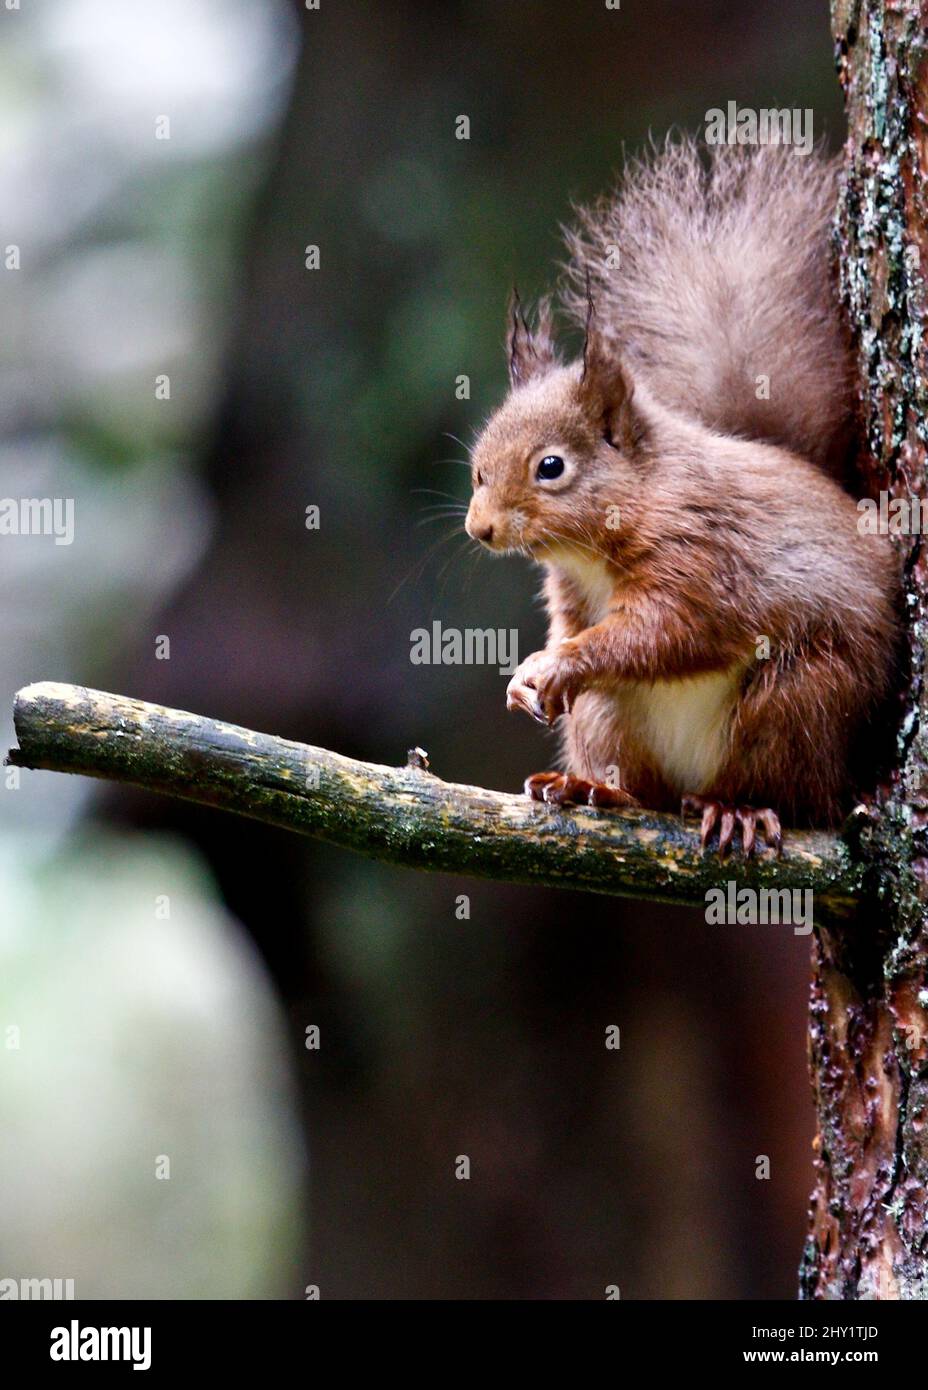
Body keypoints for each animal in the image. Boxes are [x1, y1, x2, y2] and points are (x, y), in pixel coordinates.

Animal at [463, 138, 899, 857]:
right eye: (477, 468)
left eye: (551, 467)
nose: (481, 529)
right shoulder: (573, 594)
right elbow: (578, 629)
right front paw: (530, 679)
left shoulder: (698, 555)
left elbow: (665, 631)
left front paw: (555, 666)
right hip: (607, 719)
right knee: (648, 787)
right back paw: (593, 787)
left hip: (800, 698)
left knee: (783, 787)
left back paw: (736, 807)